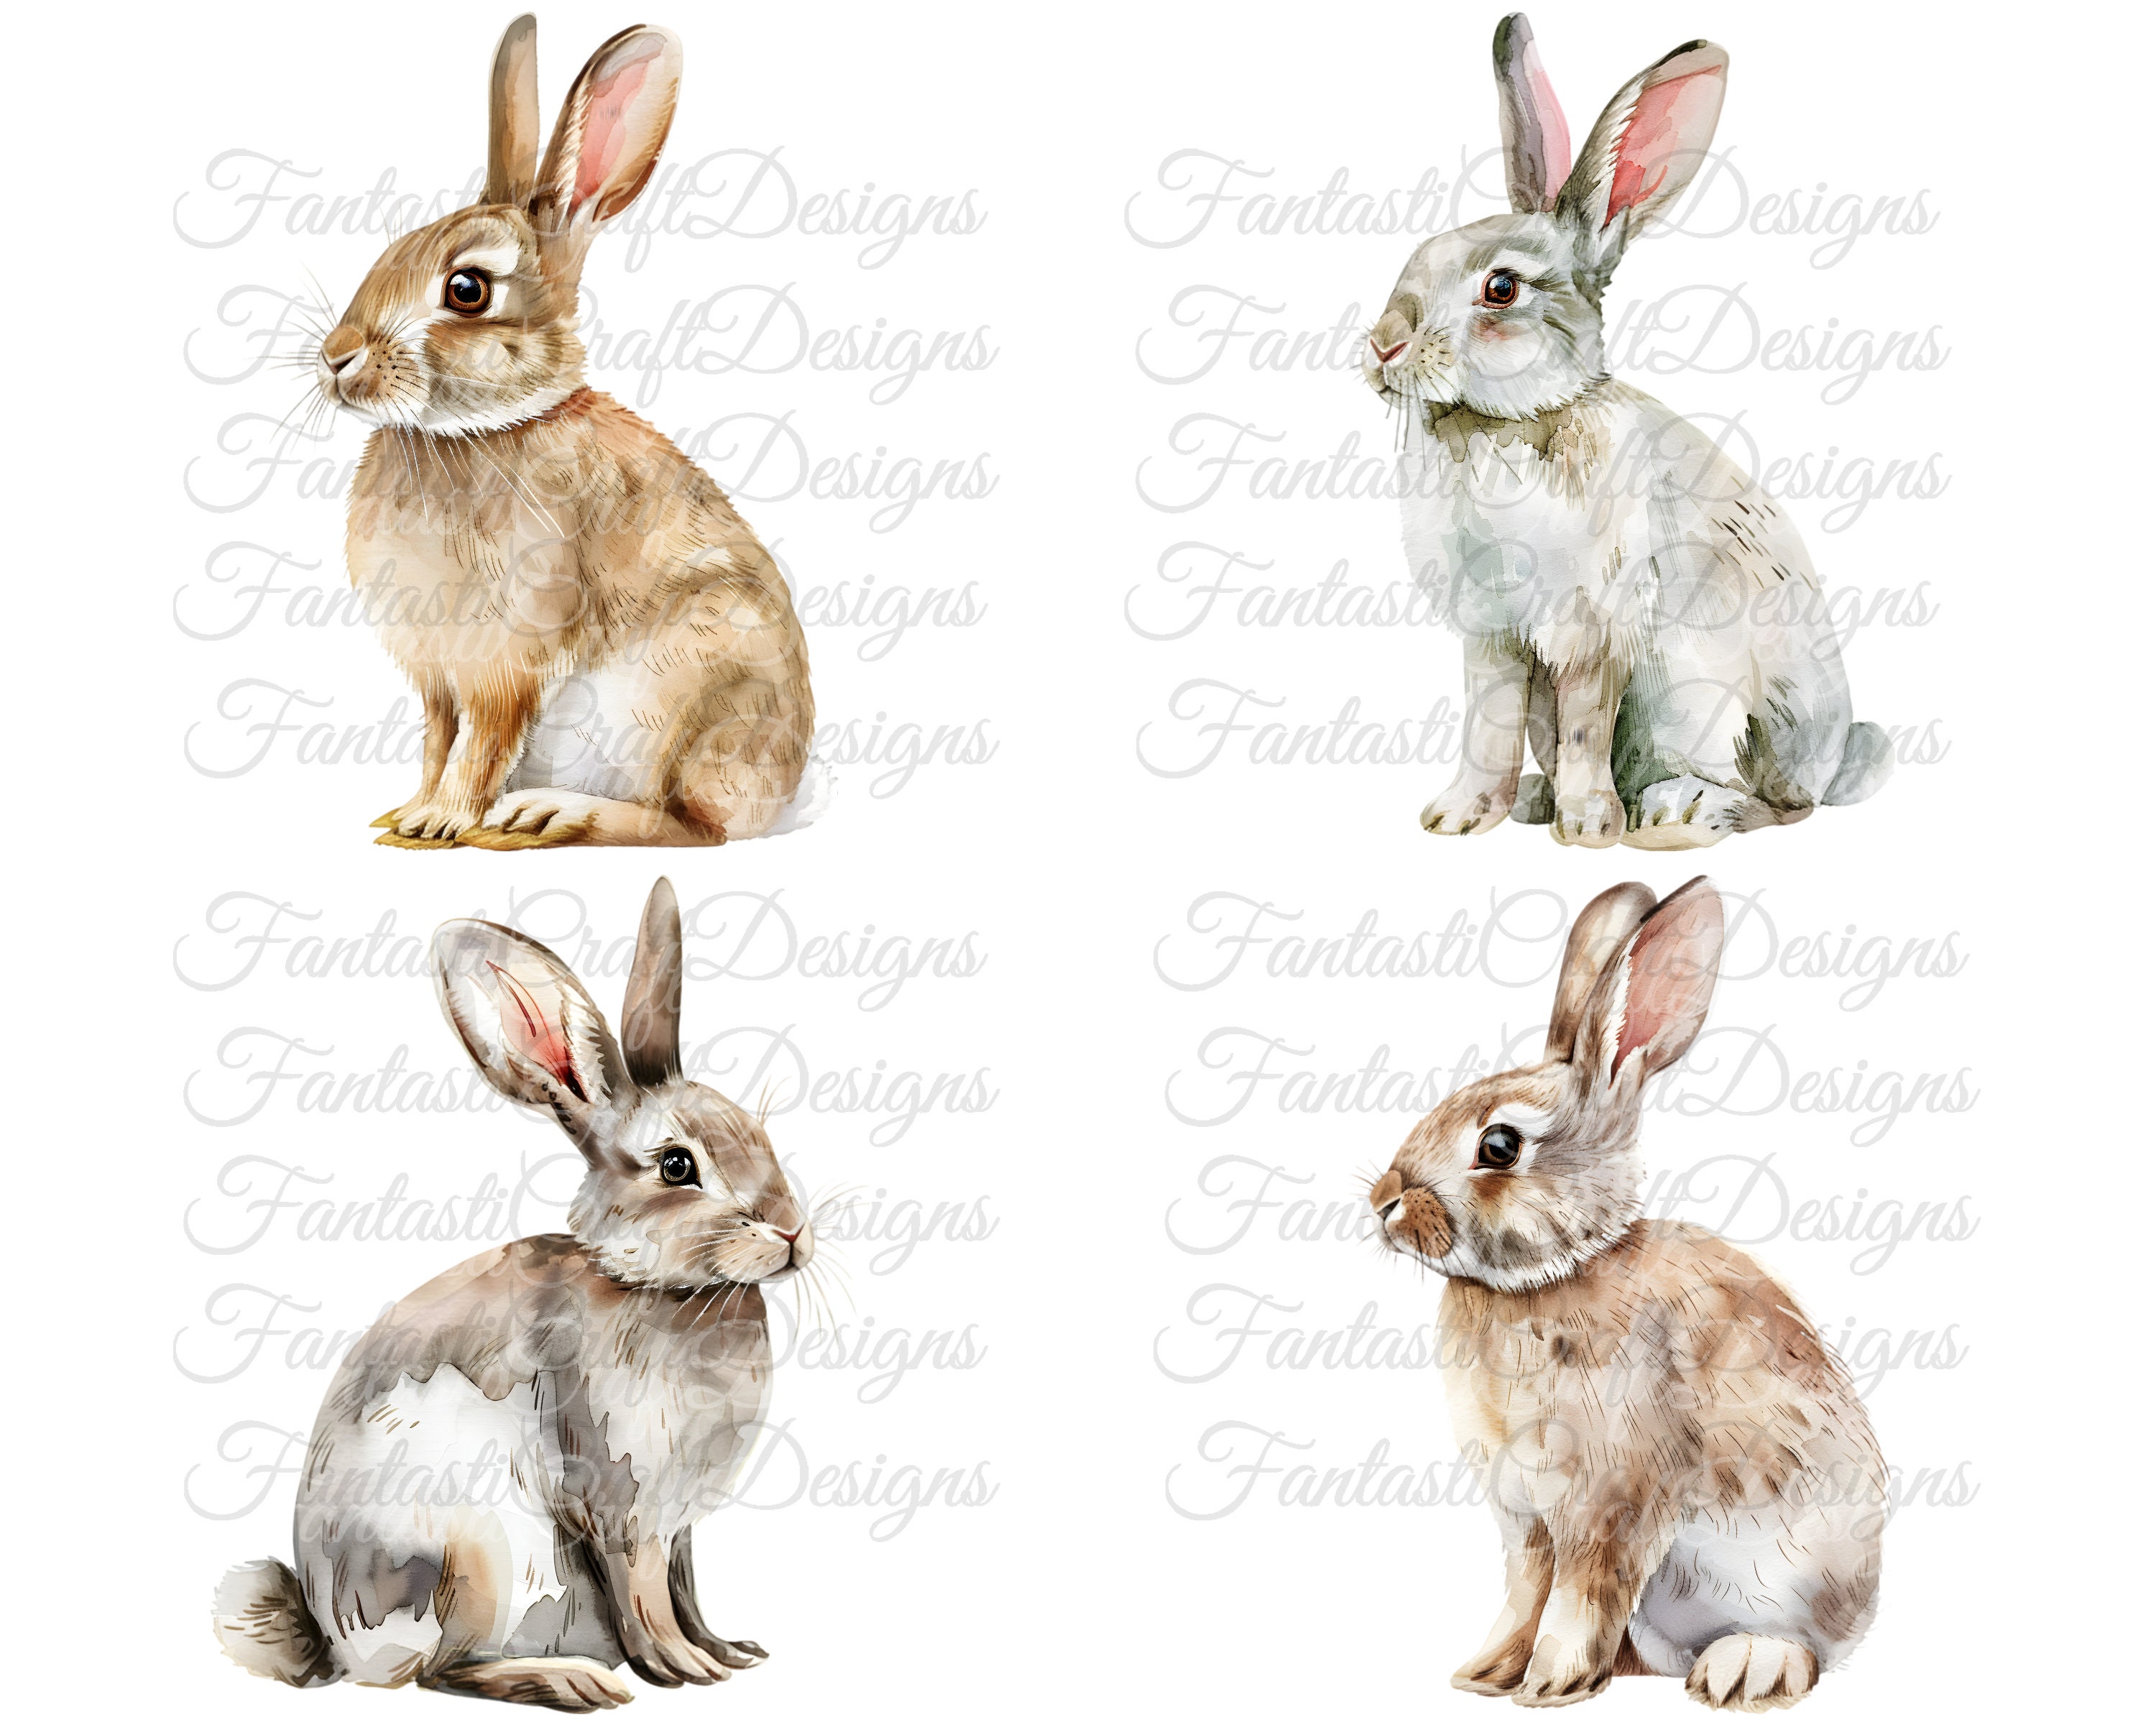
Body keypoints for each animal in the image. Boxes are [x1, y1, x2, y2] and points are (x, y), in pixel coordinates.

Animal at [212, 878, 817, 1711]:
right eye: (676, 1166)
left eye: (758, 1134)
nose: (793, 1231)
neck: (660, 1286)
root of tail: (333, 1639)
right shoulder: (623, 1504)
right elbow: (646, 1600)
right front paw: (685, 1670)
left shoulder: (681, 1526)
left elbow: (687, 1593)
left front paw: (729, 1652)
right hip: (475, 1562)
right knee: (440, 1671)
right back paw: (571, 1680)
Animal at [315, 16, 827, 850]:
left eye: (467, 290)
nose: (336, 358)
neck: (474, 429)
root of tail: (783, 792)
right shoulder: (436, 678)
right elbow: (437, 740)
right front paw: (409, 810)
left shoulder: (509, 656)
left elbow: (483, 742)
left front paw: (445, 819)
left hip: (688, 696)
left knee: (686, 827)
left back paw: (553, 811)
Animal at [1362, 14, 1892, 849]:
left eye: (1501, 288)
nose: (1383, 345)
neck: (1510, 422)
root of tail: (1834, 761)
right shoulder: (1492, 639)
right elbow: (1488, 726)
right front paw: (1459, 816)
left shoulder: (1592, 627)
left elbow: (1586, 725)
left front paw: (1587, 828)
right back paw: (1536, 800)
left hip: (1716, 705)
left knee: (1778, 807)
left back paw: (1674, 815)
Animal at [1367, 877, 1885, 1710]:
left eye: (1499, 1145)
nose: (1383, 1201)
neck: (1550, 1276)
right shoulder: (1526, 1520)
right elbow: (1526, 1595)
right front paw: (1486, 1675)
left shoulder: (1611, 1500)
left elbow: (1581, 1595)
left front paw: (1550, 1684)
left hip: (1793, 1571)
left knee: (1806, 1649)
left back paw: (1746, 1668)